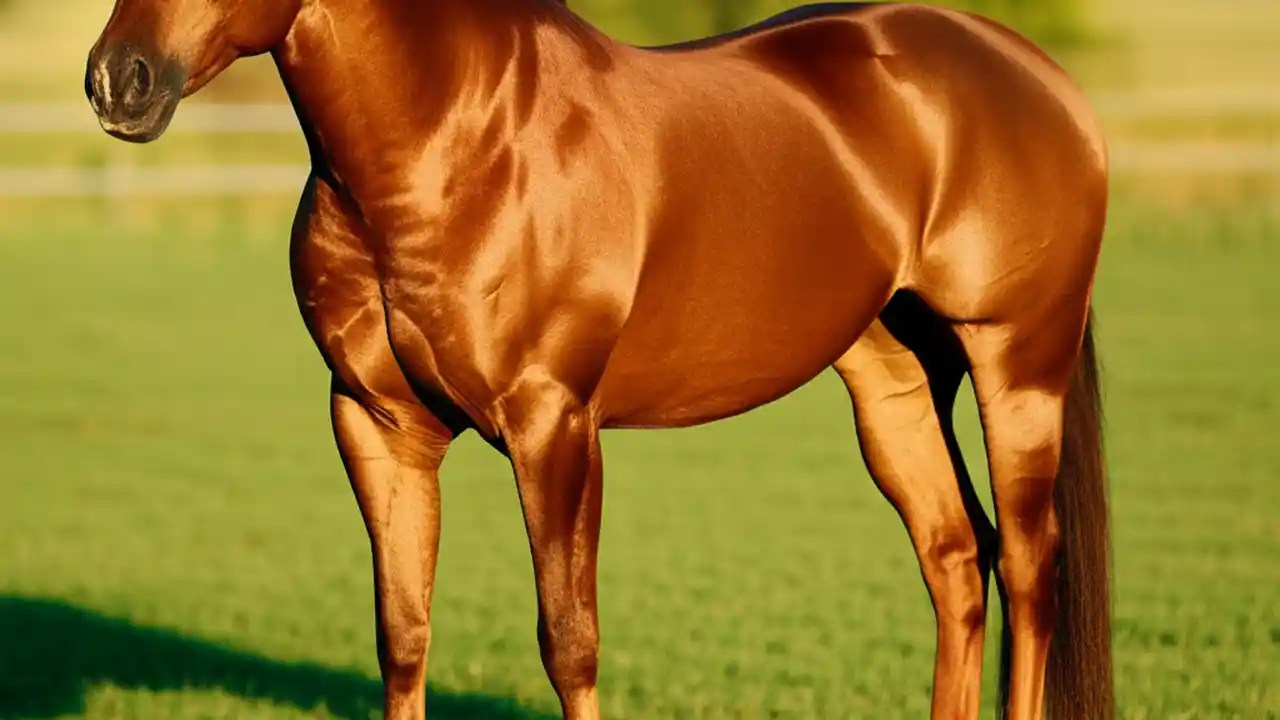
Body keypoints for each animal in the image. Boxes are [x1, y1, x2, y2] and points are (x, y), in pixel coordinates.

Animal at [86, 1, 1113, 718]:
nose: (117, 81)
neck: (455, 141)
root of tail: (1041, 79)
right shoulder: (377, 424)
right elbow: (403, 634)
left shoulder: (555, 426)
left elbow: (568, 641)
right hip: (893, 381)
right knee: (955, 557)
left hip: (1018, 367)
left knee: (1029, 571)